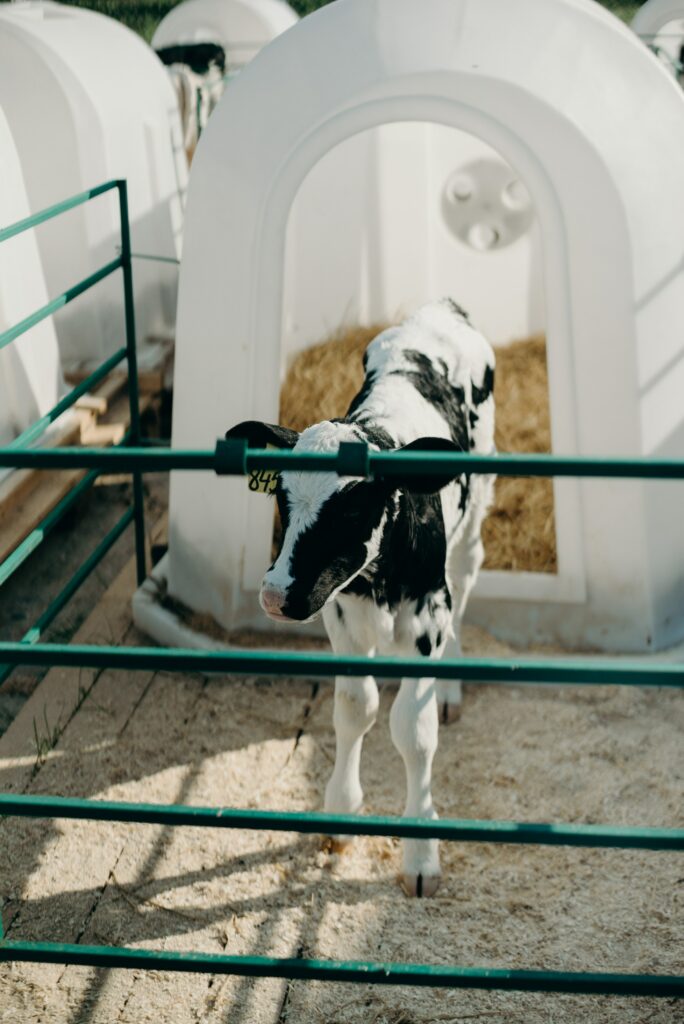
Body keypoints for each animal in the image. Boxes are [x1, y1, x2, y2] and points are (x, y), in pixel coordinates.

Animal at [226, 298, 496, 897]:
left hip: (475, 513)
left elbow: (413, 732)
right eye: (281, 497)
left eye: (351, 511)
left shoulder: (427, 613)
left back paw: (452, 685)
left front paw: (420, 854)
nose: (275, 595)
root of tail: (442, 308)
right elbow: (356, 709)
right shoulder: (344, 613)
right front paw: (341, 812)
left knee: (469, 573)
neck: (381, 580)